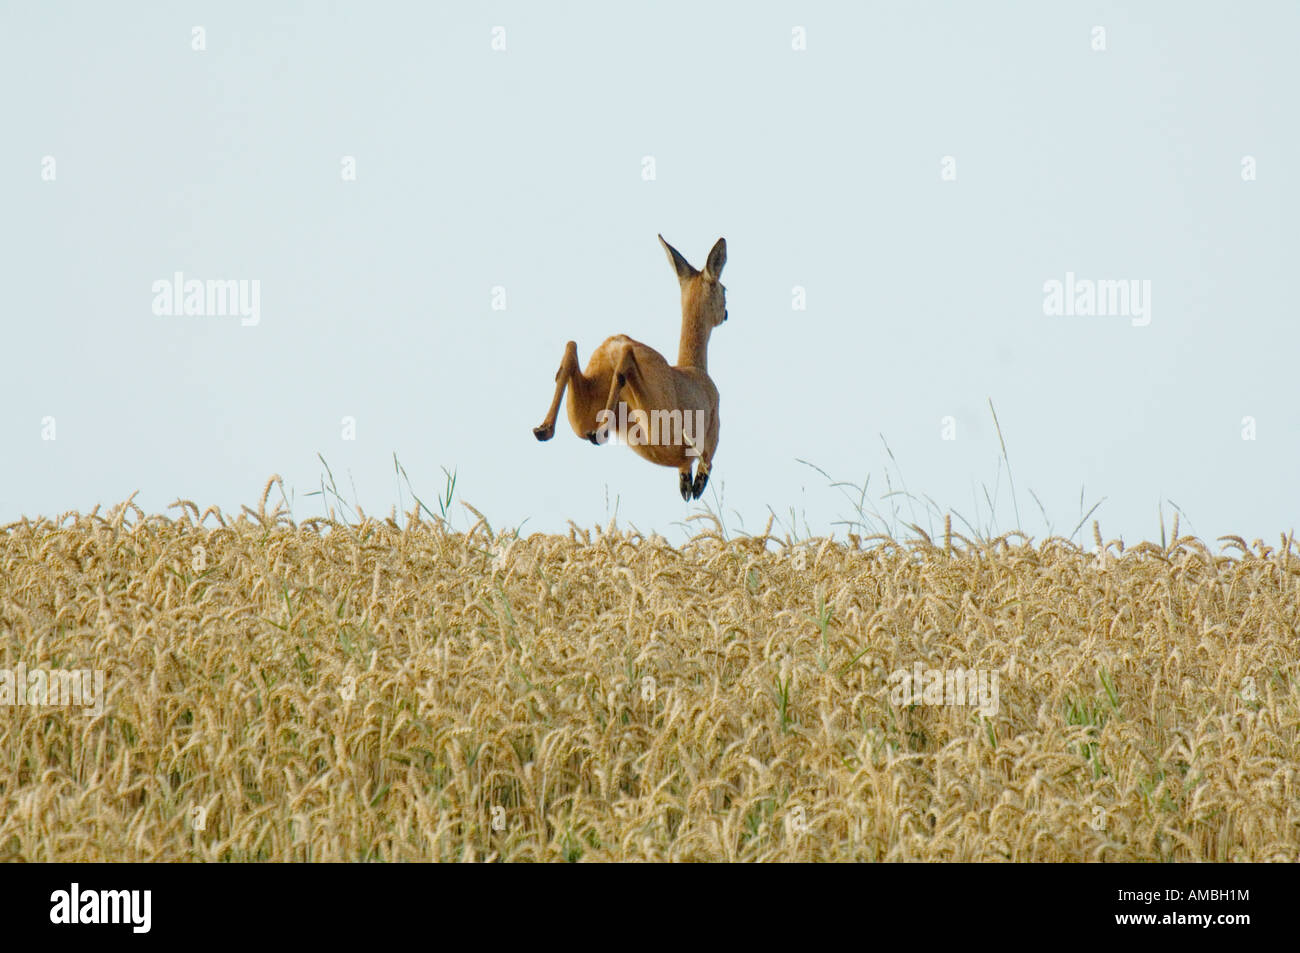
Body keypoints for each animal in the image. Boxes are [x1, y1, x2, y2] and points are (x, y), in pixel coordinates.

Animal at [532, 234, 728, 501]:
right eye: (724, 288)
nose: (726, 312)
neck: (694, 370)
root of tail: (613, 345)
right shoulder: (709, 439)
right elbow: (704, 464)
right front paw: (694, 485)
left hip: (582, 419)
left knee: (571, 349)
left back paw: (545, 429)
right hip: (656, 423)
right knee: (623, 356)